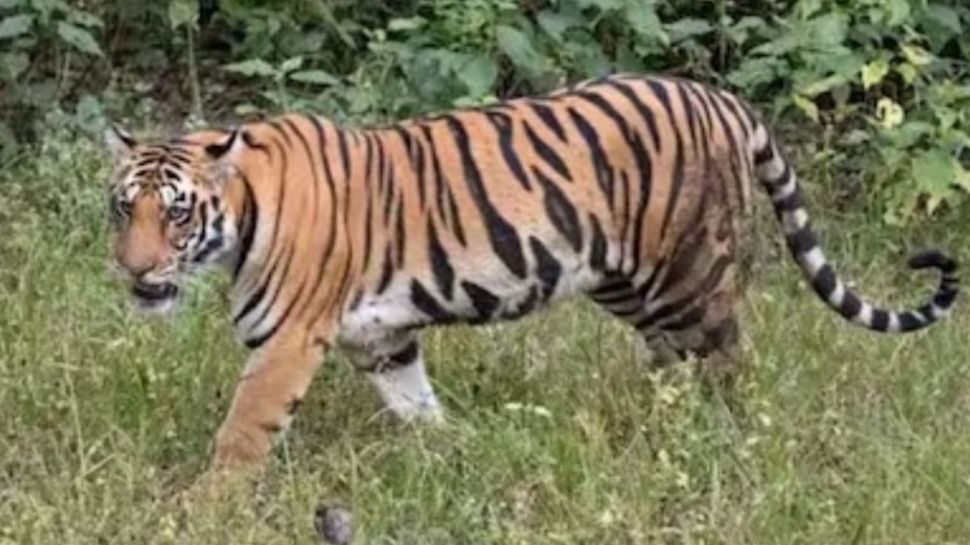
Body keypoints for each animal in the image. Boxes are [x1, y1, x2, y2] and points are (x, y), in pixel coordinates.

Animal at [104, 73, 959, 472]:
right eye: (123, 209)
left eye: (175, 214)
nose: (134, 271)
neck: (242, 215)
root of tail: (722, 97)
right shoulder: (380, 338)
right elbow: (415, 402)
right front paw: (450, 454)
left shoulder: (286, 341)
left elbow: (242, 432)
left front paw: (206, 508)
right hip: (631, 285)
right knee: (676, 364)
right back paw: (659, 432)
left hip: (689, 276)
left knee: (730, 363)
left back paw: (726, 442)